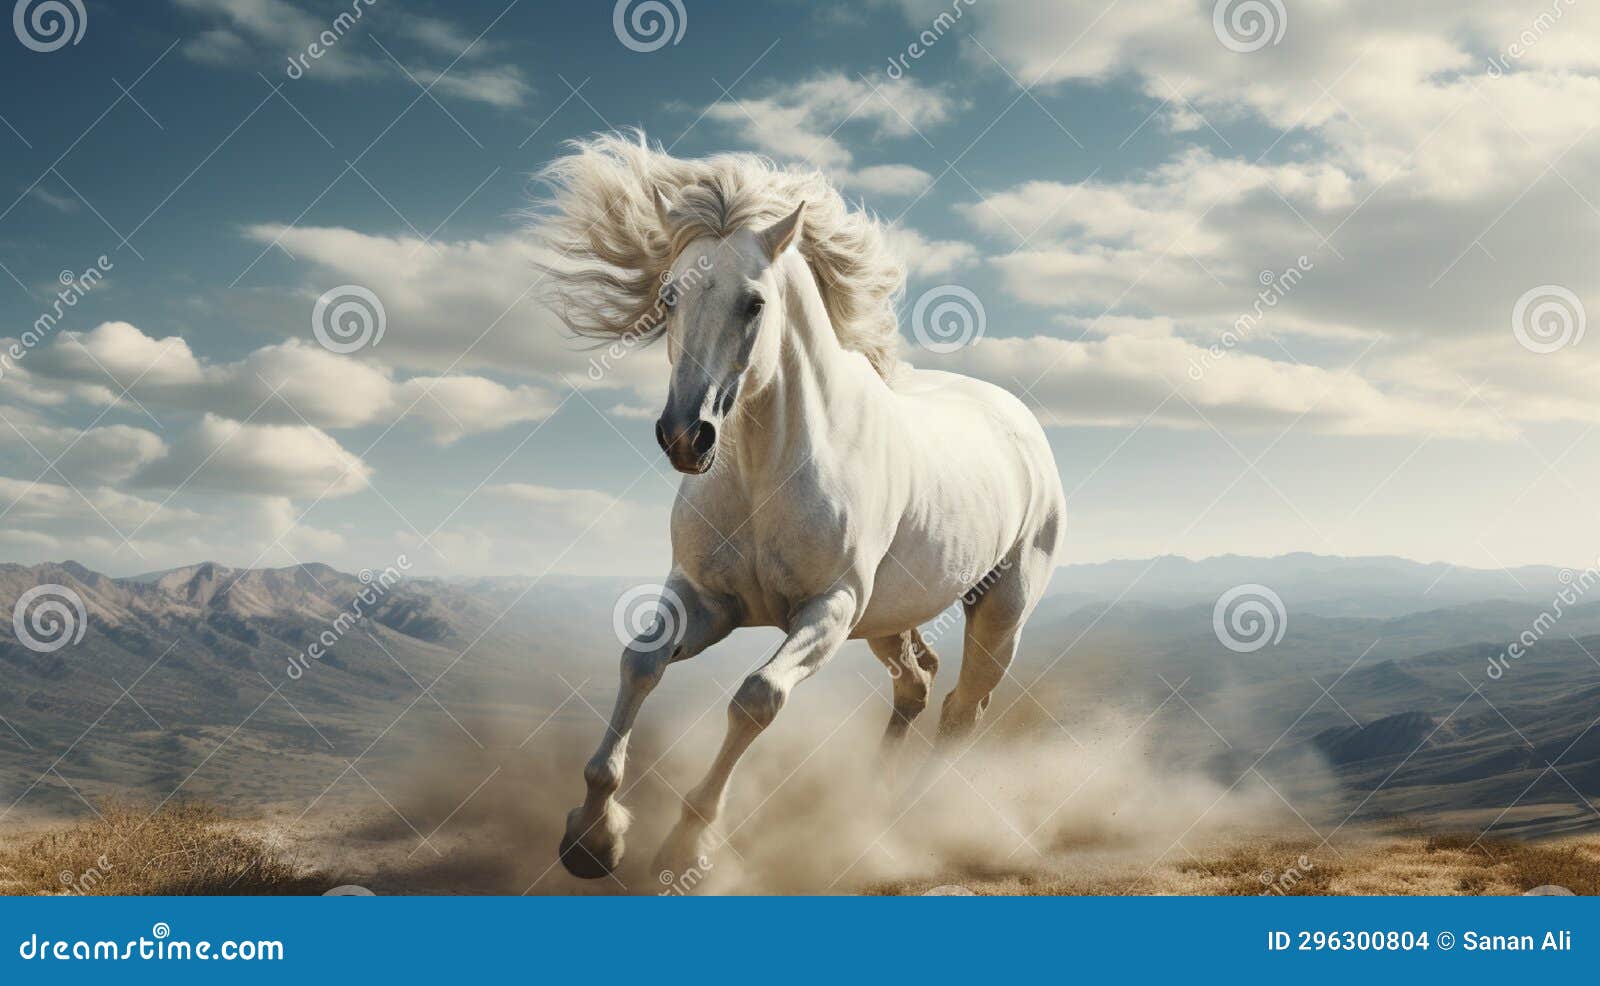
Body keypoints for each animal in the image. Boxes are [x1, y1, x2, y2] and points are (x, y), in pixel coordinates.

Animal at [537, 133, 1067, 884]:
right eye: (668, 296)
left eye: (753, 303)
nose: (685, 436)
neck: (765, 472)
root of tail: (1018, 419)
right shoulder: (705, 598)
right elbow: (640, 663)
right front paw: (591, 838)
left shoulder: (828, 609)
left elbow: (756, 698)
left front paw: (685, 847)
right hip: (888, 618)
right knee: (916, 686)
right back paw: (874, 799)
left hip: (999, 611)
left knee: (964, 709)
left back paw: (915, 819)